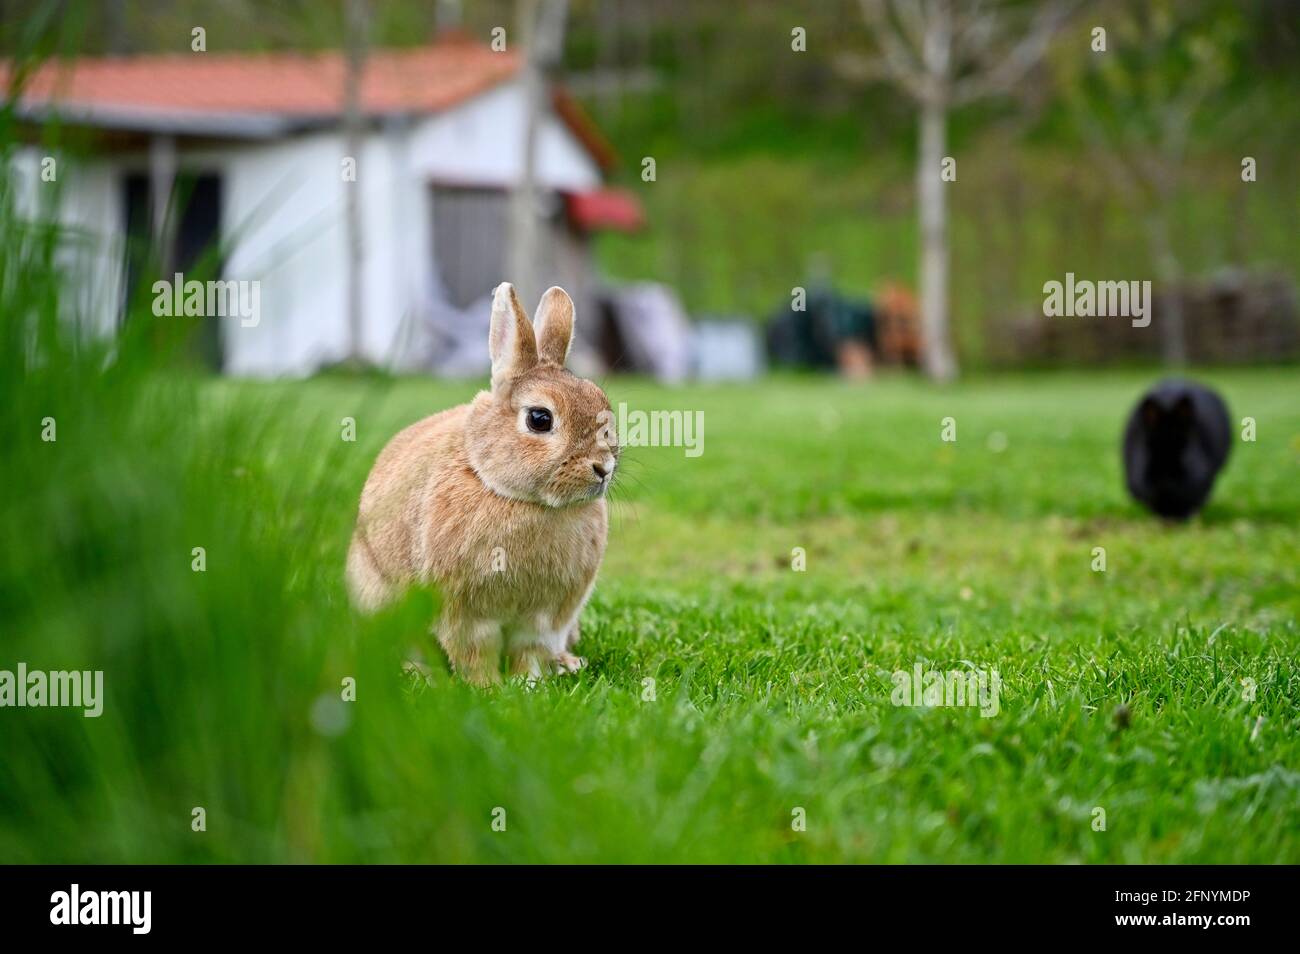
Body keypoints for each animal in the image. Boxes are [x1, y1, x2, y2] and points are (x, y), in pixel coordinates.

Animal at [346, 282, 618, 684]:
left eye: (603, 408)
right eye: (540, 418)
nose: (603, 467)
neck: (520, 500)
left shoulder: (546, 619)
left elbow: (529, 651)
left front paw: (527, 684)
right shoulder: (465, 614)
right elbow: (476, 652)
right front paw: (488, 687)